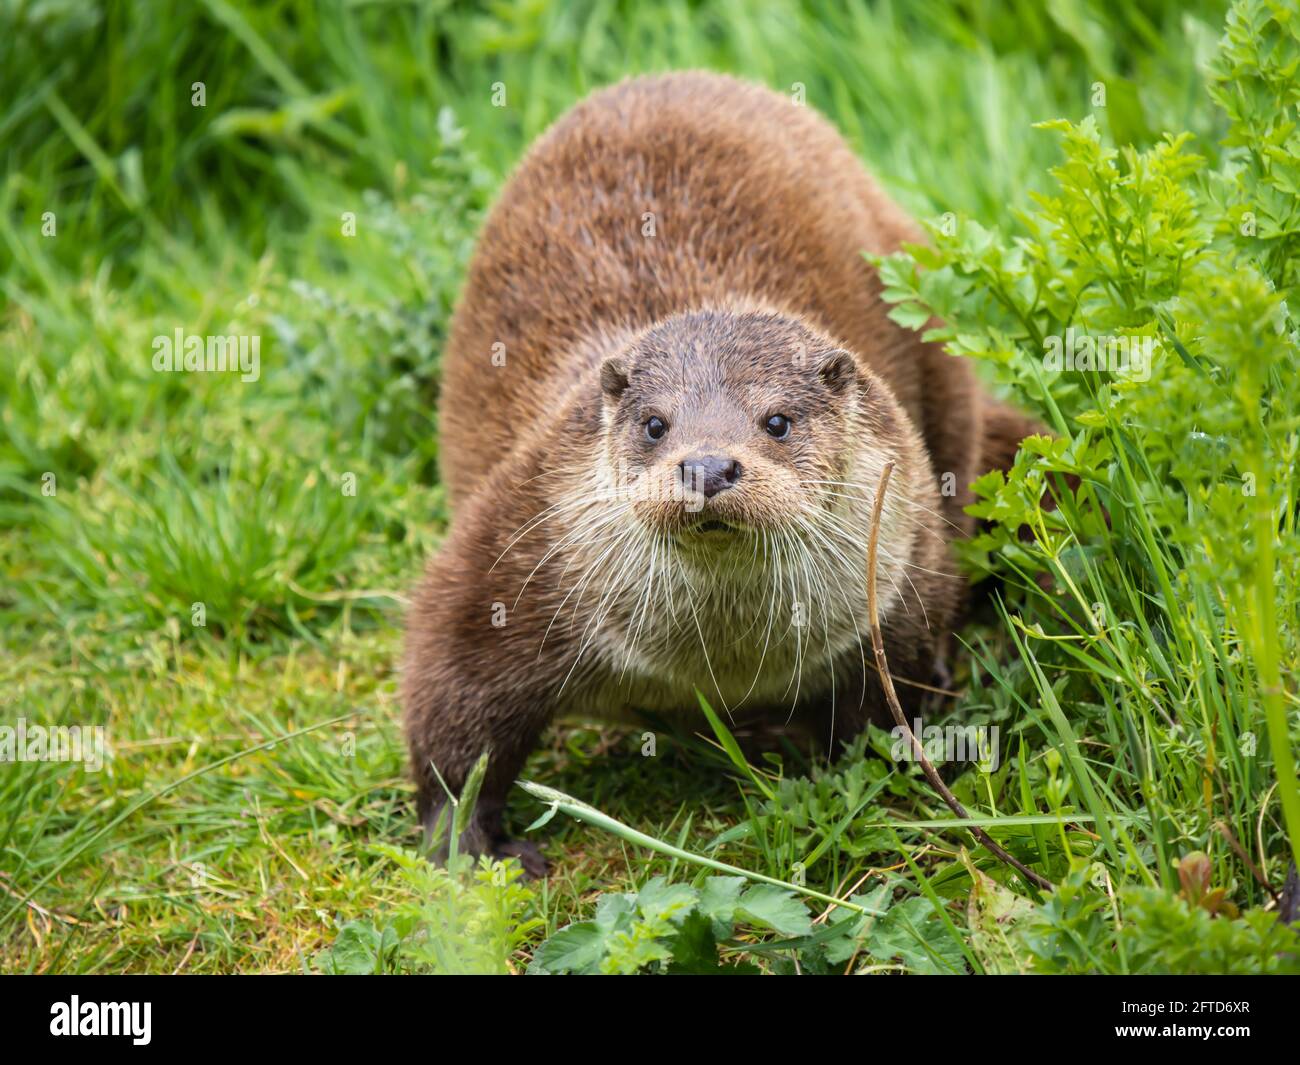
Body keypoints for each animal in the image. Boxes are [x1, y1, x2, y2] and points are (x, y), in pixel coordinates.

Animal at [402, 72, 1040, 874]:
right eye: (655, 424)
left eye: (777, 421)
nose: (707, 464)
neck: (720, 669)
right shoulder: (512, 551)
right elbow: (452, 697)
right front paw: (468, 843)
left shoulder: (902, 586)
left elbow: (893, 701)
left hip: (934, 340)